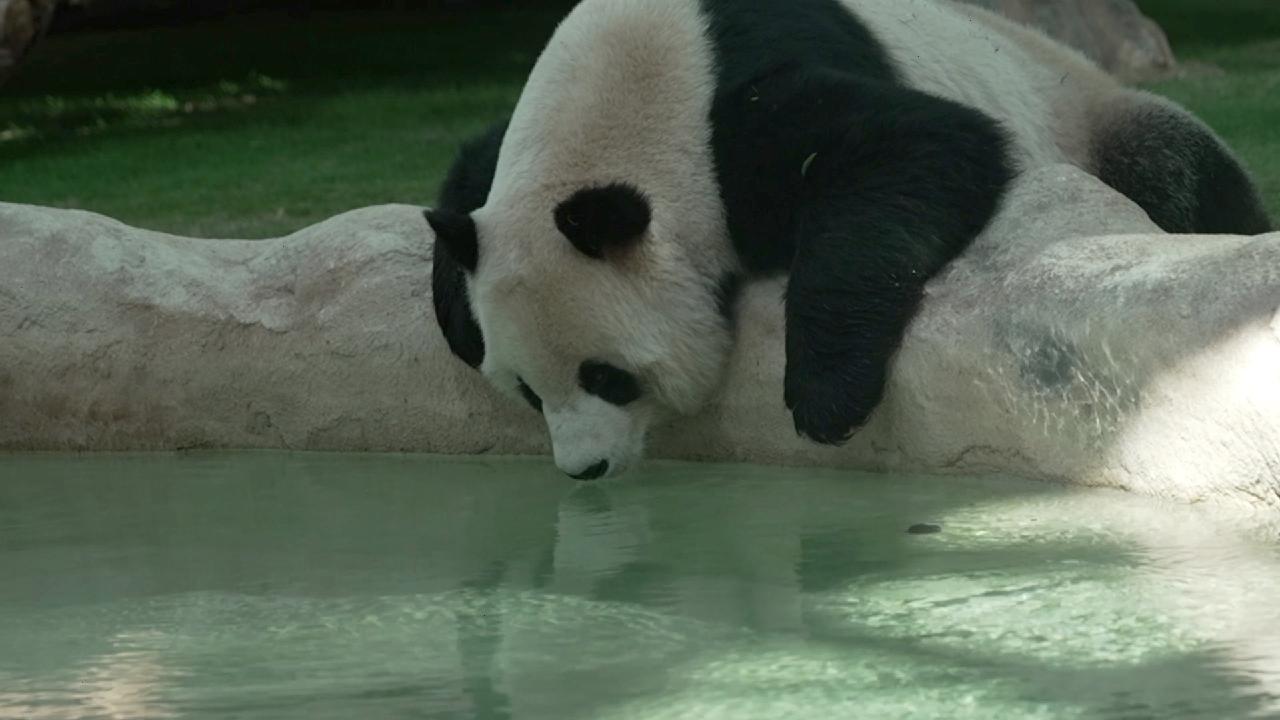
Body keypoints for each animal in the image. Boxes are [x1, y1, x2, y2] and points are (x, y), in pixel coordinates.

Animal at [425, 0, 1273, 480]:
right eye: (527, 390)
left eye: (609, 377)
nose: (585, 470)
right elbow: (463, 186)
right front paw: (455, 310)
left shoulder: (731, 126)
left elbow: (921, 144)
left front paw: (826, 394)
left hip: (1087, 110)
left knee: (1177, 164)